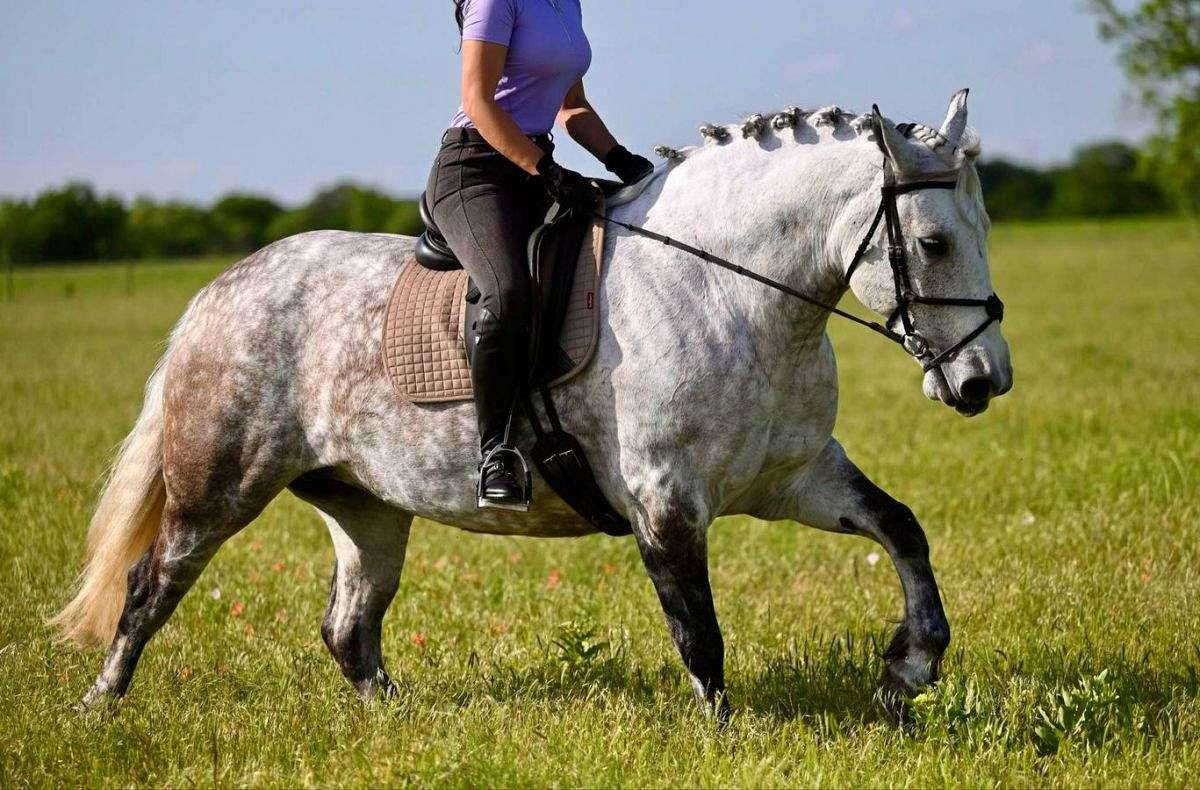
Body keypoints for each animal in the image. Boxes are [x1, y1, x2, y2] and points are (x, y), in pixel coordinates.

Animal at [53, 90, 1012, 720]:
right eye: (932, 243)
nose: (982, 383)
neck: (729, 292)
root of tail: (221, 289)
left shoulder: (797, 479)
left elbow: (903, 531)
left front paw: (910, 666)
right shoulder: (667, 501)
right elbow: (698, 633)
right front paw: (727, 738)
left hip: (366, 506)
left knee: (349, 628)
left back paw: (402, 722)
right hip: (219, 490)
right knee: (150, 588)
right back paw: (100, 706)